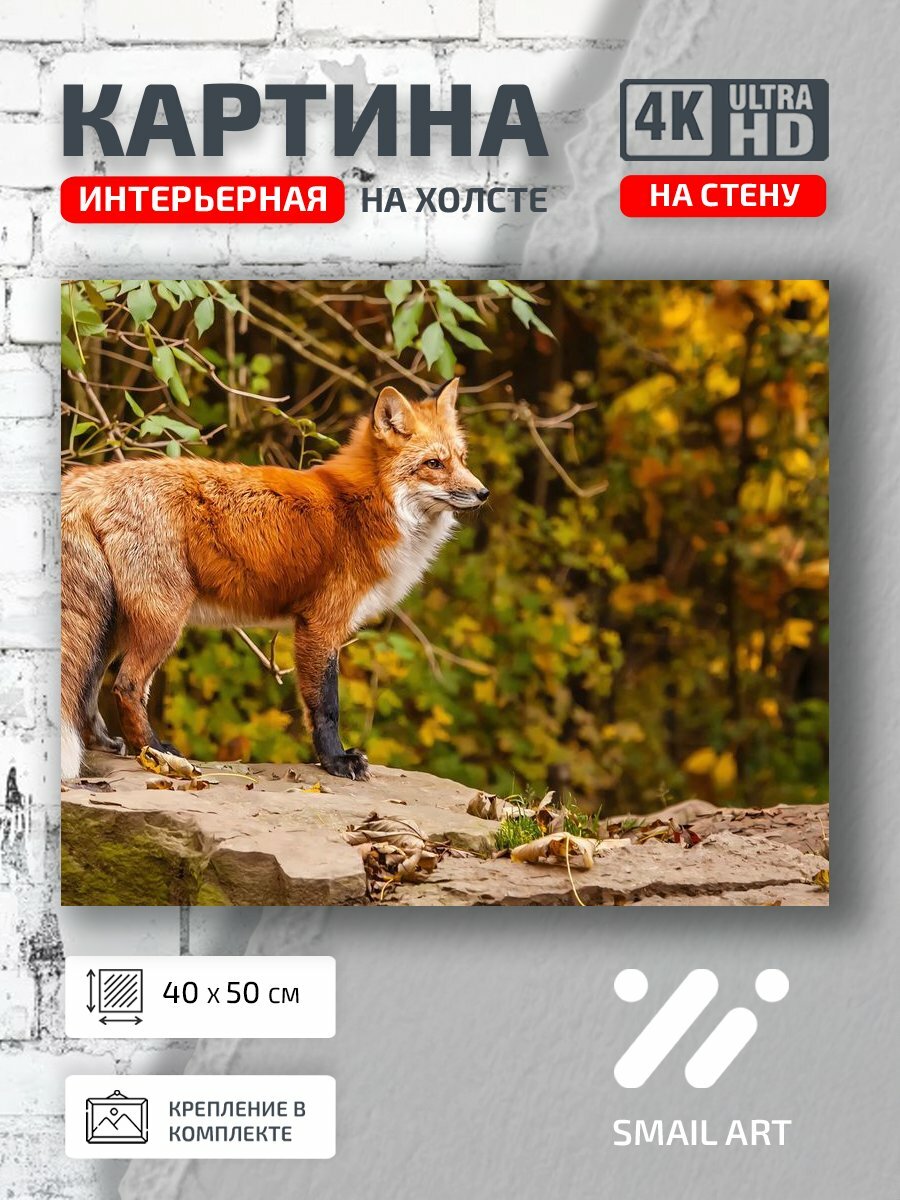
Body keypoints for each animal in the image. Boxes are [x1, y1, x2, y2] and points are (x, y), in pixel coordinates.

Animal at [60, 377, 487, 782]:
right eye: (434, 463)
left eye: (462, 458)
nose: (483, 492)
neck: (369, 505)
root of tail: (86, 479)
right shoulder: (320, 625)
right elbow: (326, 706)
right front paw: (336, 761)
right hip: (162, 621)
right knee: (126, 686)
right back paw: (155, 752)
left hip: (110, 625)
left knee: (87, 690)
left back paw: (108, 743)